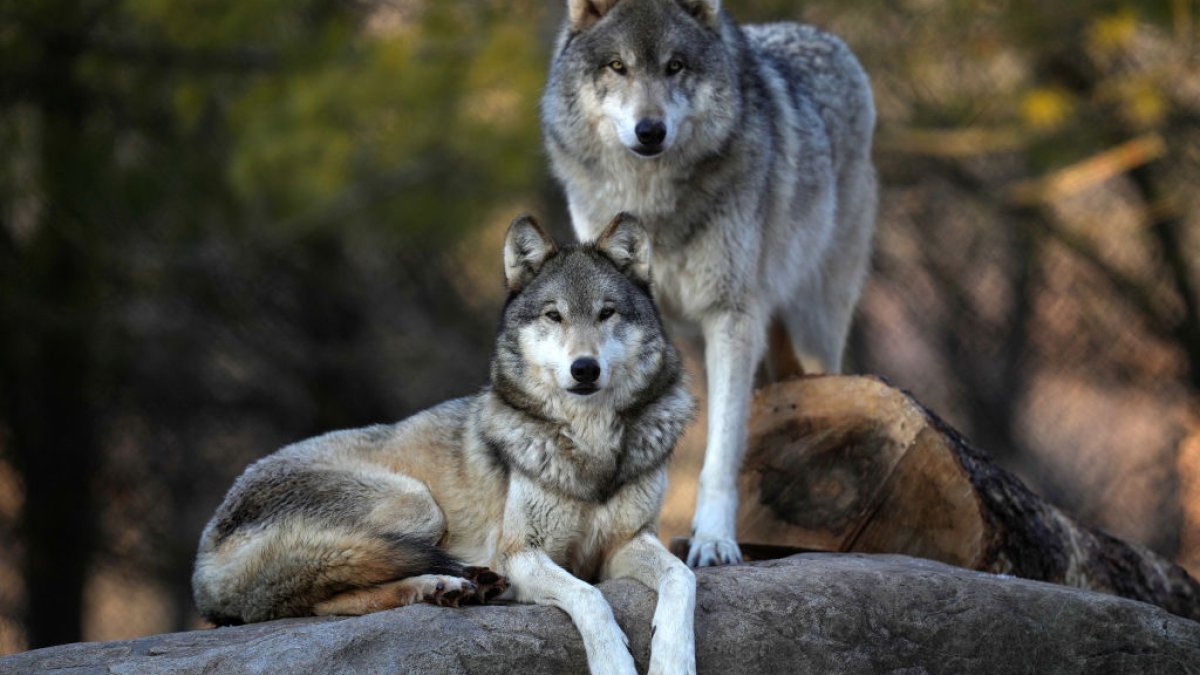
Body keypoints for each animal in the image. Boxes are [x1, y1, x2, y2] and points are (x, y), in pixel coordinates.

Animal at [193, 213, 697, 675]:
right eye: (554, 316)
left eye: (606, 312)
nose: (585, 369)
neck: (589, 446)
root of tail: (202, 562)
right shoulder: (520, 554)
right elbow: (589, 596)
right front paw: (615, 662)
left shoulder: (625, 544)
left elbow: (682, 576)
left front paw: (673, 660)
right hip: (416, 505)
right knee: (318, 599)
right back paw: (445, 585)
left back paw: (450, 588)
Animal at [542, 0, 877, 567]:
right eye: (618, 67)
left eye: (675, 66)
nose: (650, 130)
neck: (652, 206)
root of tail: (828, 41)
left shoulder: (731, 316)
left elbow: (720, 449)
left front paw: (714, 540)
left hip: (816, 320)